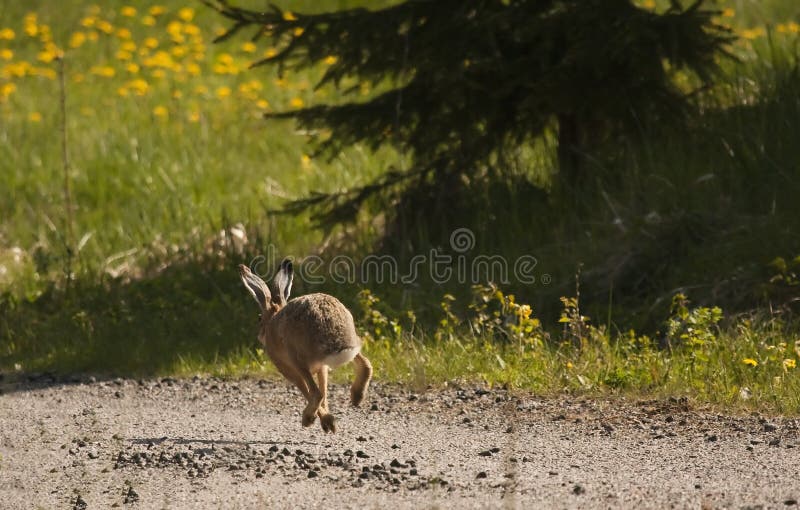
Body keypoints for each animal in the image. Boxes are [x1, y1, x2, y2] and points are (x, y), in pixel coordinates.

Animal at [238, 259, 372, 433]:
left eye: (259, 318)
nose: (259, 334)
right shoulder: (322, 368)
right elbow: (324, 390)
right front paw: (328, 422)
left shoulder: (288, 369)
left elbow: (308, 391)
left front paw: (322, 420)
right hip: (352, 339)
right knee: (366, 364)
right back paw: (357, 396)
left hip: (297, 357)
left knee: (316, 393)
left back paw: (307, 418)